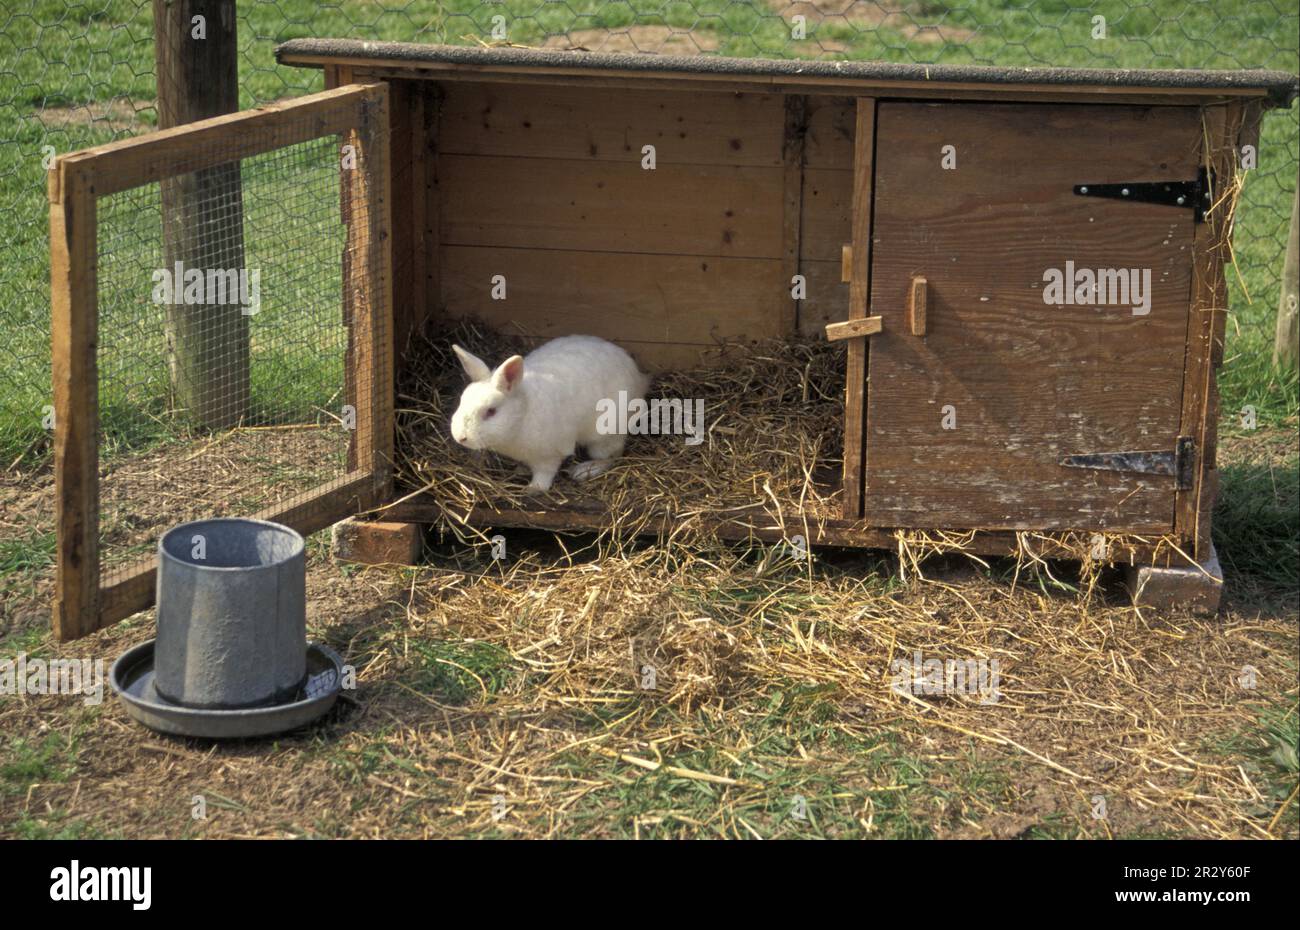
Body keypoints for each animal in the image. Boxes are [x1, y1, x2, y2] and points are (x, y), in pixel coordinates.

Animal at [449, 335, 650, 492]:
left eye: (491, 411)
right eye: (462, 400)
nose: (460, 438)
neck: (523, 414)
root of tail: (639, 379)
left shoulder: (549, 456)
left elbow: (544, 475)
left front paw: (533, 489)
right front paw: (521, 470)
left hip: (605, 436)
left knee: (612, 456)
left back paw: (583, 471)